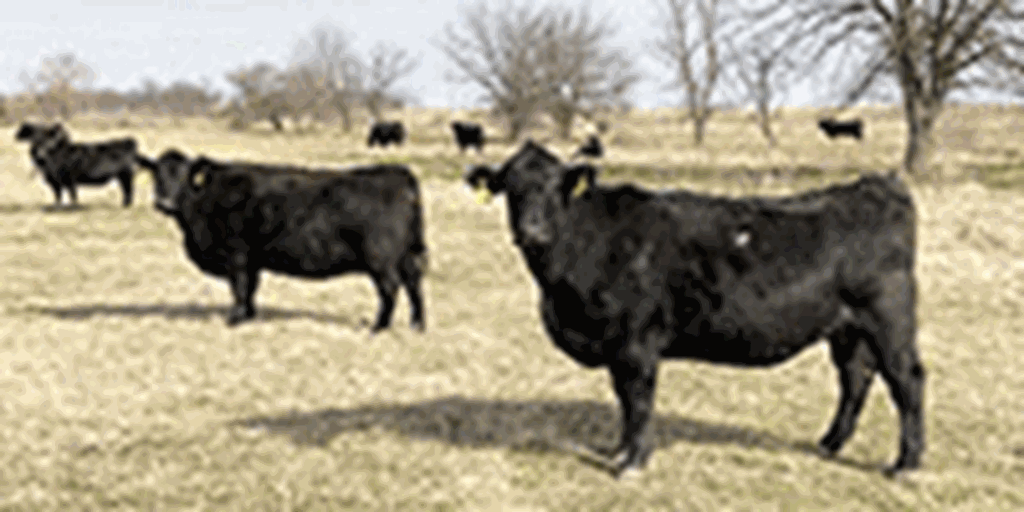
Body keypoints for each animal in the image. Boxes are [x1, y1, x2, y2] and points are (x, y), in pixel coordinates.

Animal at [135, 150, 428, 333]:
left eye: (183, 176)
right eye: (156, 175)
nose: (164, 202)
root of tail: (398, 173)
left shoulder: (236, 254)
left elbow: (239, 287)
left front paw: (235, 319)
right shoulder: (252, 259)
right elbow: (251, 288)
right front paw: (249, 315)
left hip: (381, 259)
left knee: (390, 289)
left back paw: (379, 327)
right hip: (406, 256)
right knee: (414, 283)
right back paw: (417, 324)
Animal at [465, 140, 923, 480]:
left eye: (555, 188)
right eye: (511, 187)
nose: (533, 231)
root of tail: (875, 186)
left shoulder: (636, 343)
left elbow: (639, 401)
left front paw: (632, 463)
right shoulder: (615, 347)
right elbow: (622, 400)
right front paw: (618, 451)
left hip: (890, 319)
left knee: (906, 380)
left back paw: (906, 464)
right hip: (847, 329)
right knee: (856, 377)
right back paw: (829, 444)